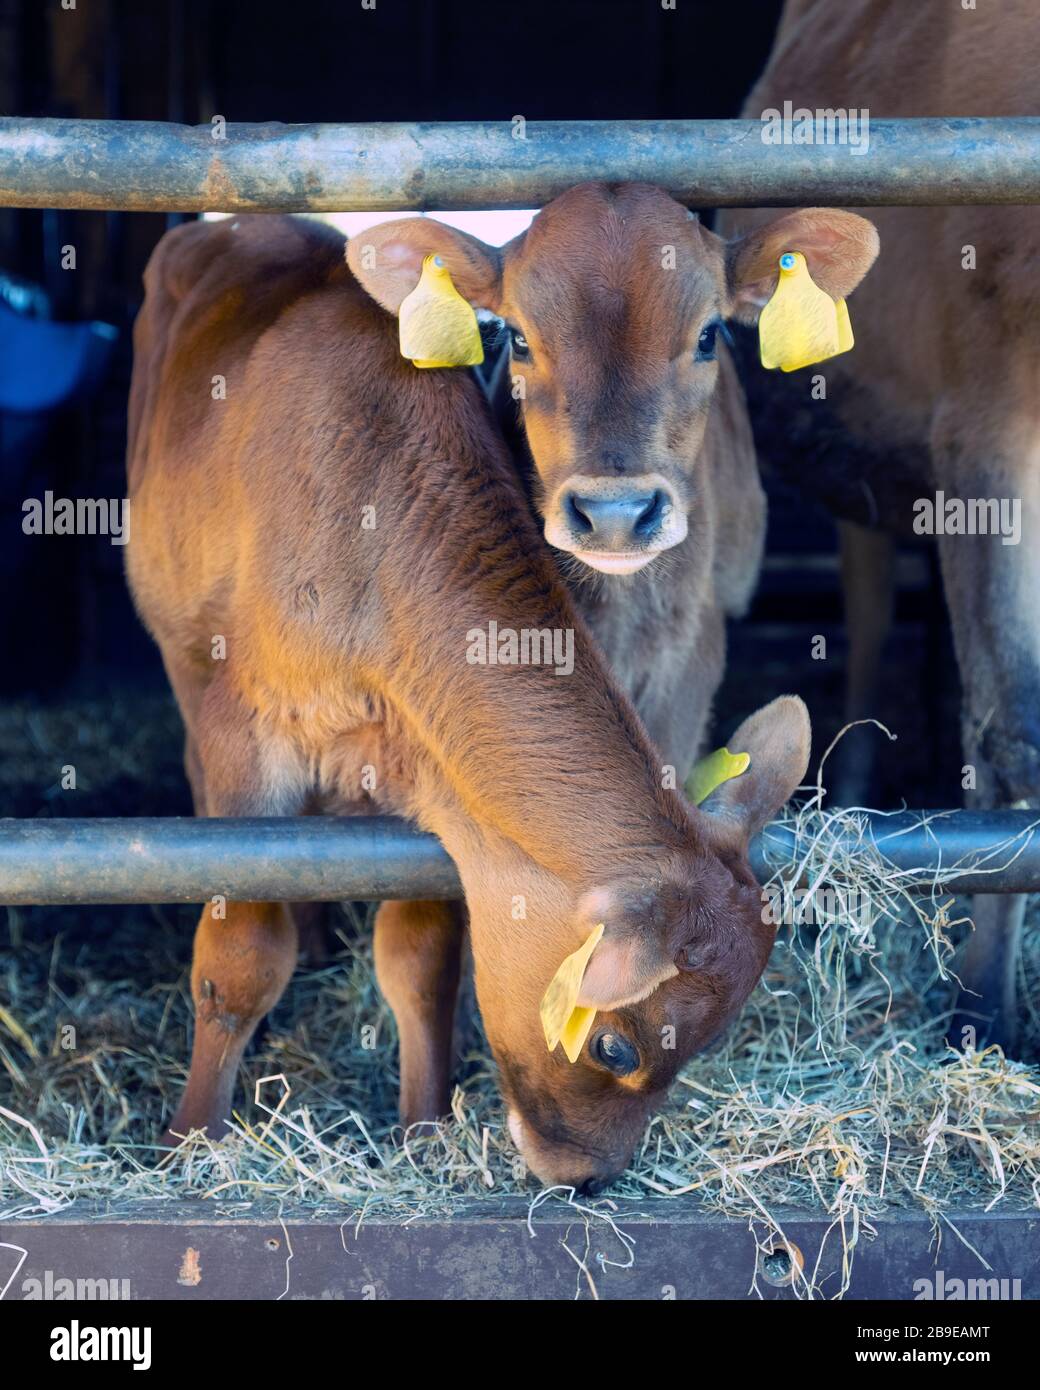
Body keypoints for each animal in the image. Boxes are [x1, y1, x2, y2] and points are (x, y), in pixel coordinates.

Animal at [126, 212, 811, 1190]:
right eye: (615, 1048)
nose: (586, 1174)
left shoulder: (435, 782)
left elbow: (421, 957)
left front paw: (422, 1128)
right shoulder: (242, 740)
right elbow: (241, 957)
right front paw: (193, 1142)